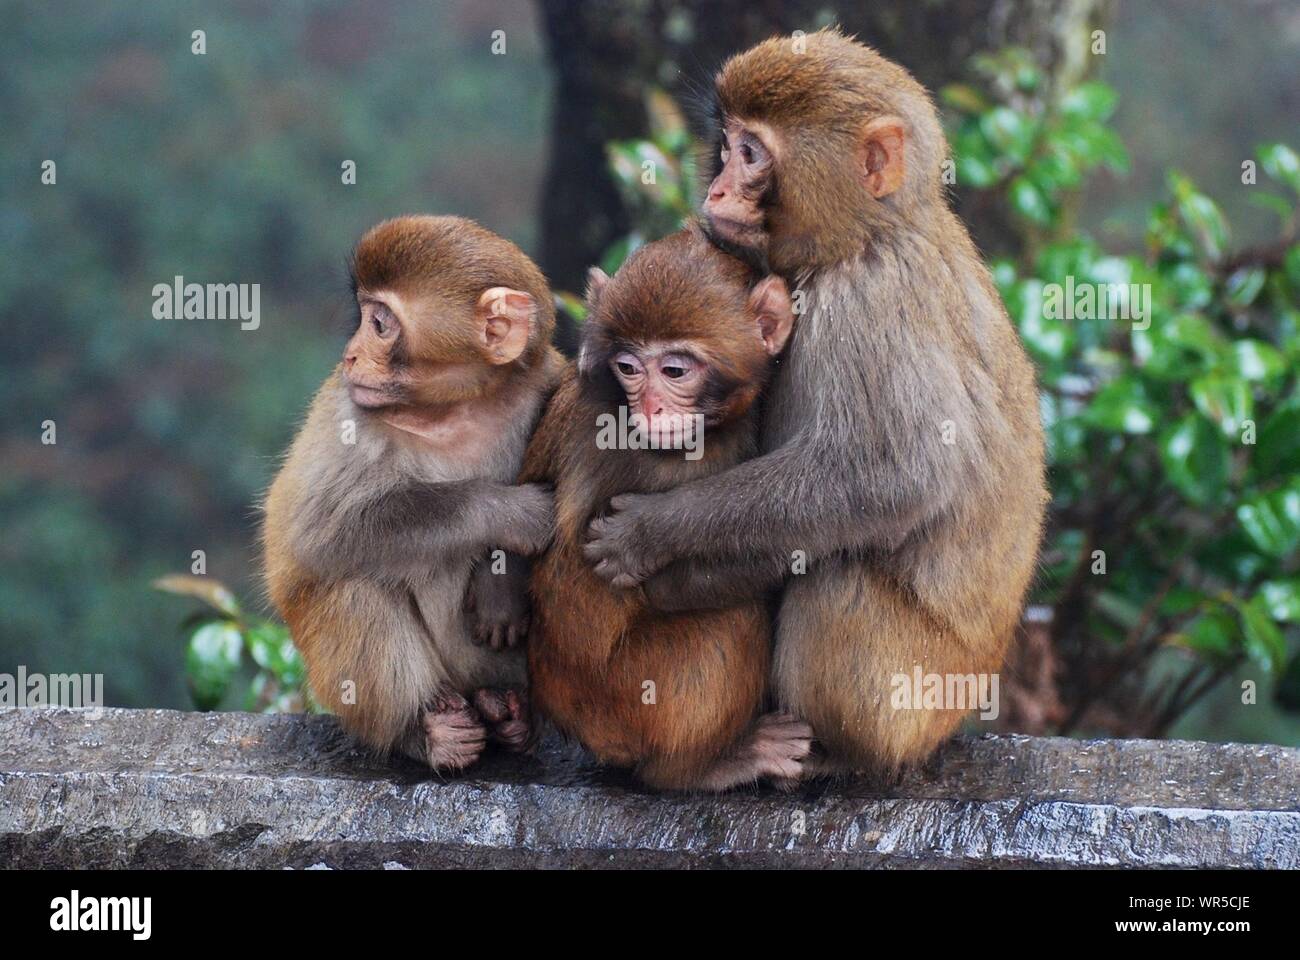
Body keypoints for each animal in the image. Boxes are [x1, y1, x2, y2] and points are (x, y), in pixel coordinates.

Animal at [262, 214, 565, 771]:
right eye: (363, 316)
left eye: (380, 324)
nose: (349, 356)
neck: (451, 409)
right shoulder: (349, 413)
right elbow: (317, 536)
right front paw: (511, 514)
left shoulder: (547, 380)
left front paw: (502, 582)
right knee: (355, 583)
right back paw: (426, 731)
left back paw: (512, 714)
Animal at [521, 226, 812, 791]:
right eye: (628, 367)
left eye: (675, 369)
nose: (651, 409)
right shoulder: (681, 458)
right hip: (639, 696)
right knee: (733, 616)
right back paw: (703, 767)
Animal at [583, 29, 1049, 776]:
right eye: (726, 144)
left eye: (750, 153)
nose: (717, 187)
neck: (867, 235)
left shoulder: (868, 301)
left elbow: (894, 477)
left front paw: (653, 536)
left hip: (912, 696)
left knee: (837, 576)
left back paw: (836, 755)